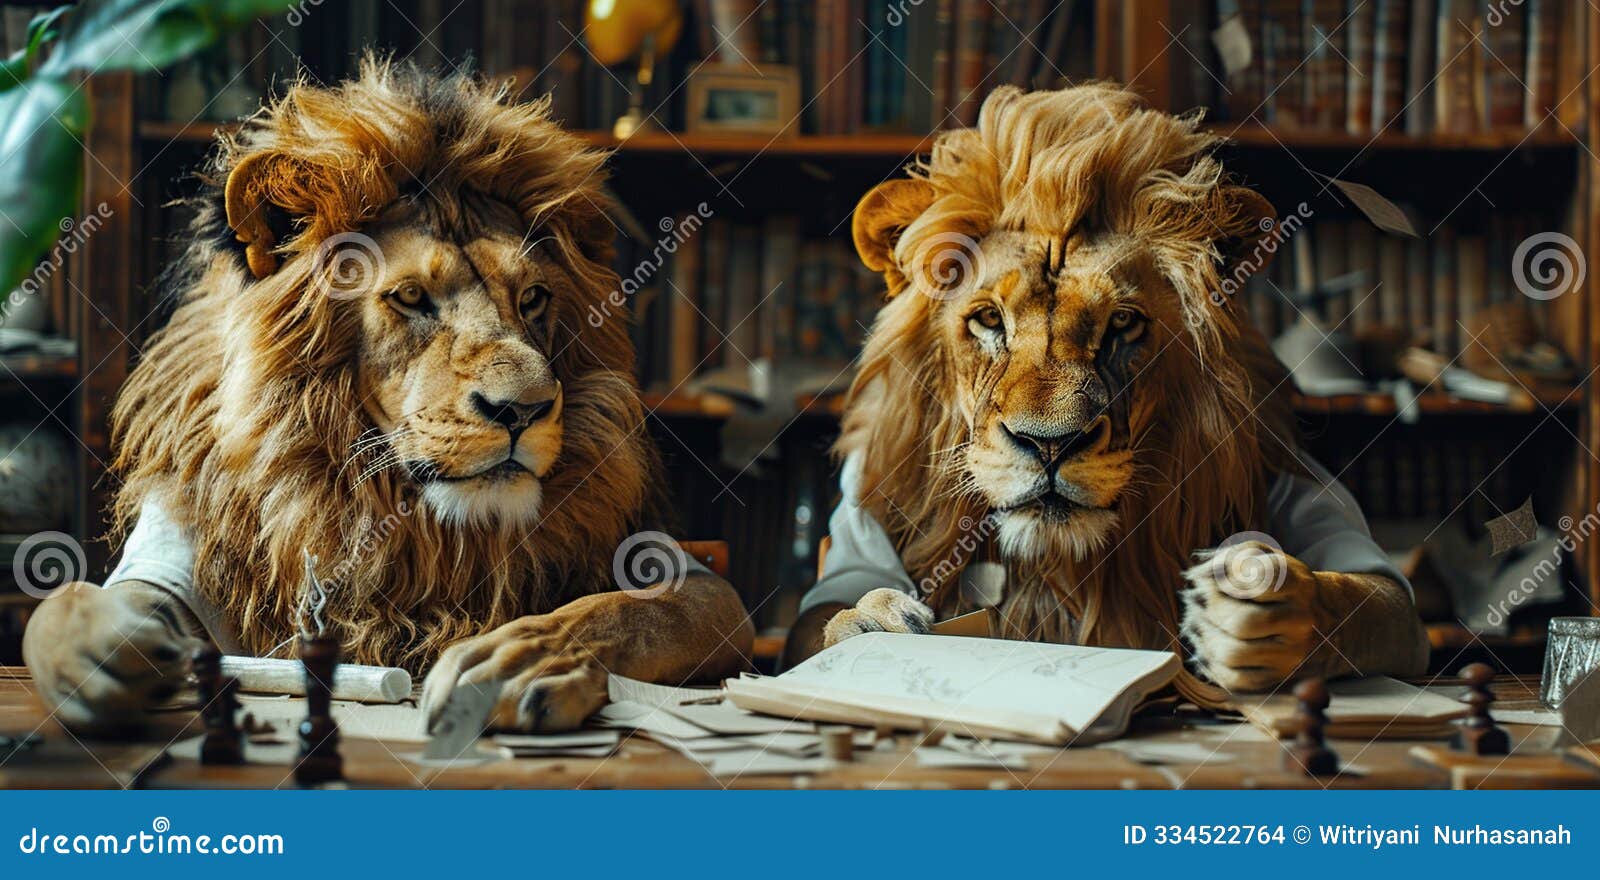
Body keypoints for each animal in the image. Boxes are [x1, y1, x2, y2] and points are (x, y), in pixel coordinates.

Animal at [24, 58, 752, 733]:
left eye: (533, 298)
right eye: (409, 298)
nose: (522, 410)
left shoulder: (684, 576)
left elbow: (627, 610)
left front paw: (523, 656)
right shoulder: (171, 564)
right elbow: (75, 604)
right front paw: (101, 652)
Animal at [784, 84, 1427, 702]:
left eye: (1122, 324)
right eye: (989, 320)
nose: (1049, 445)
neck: (1054, 572)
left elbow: (1373, 594)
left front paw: (1263, 611)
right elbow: (824, 614)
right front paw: (871, 625)